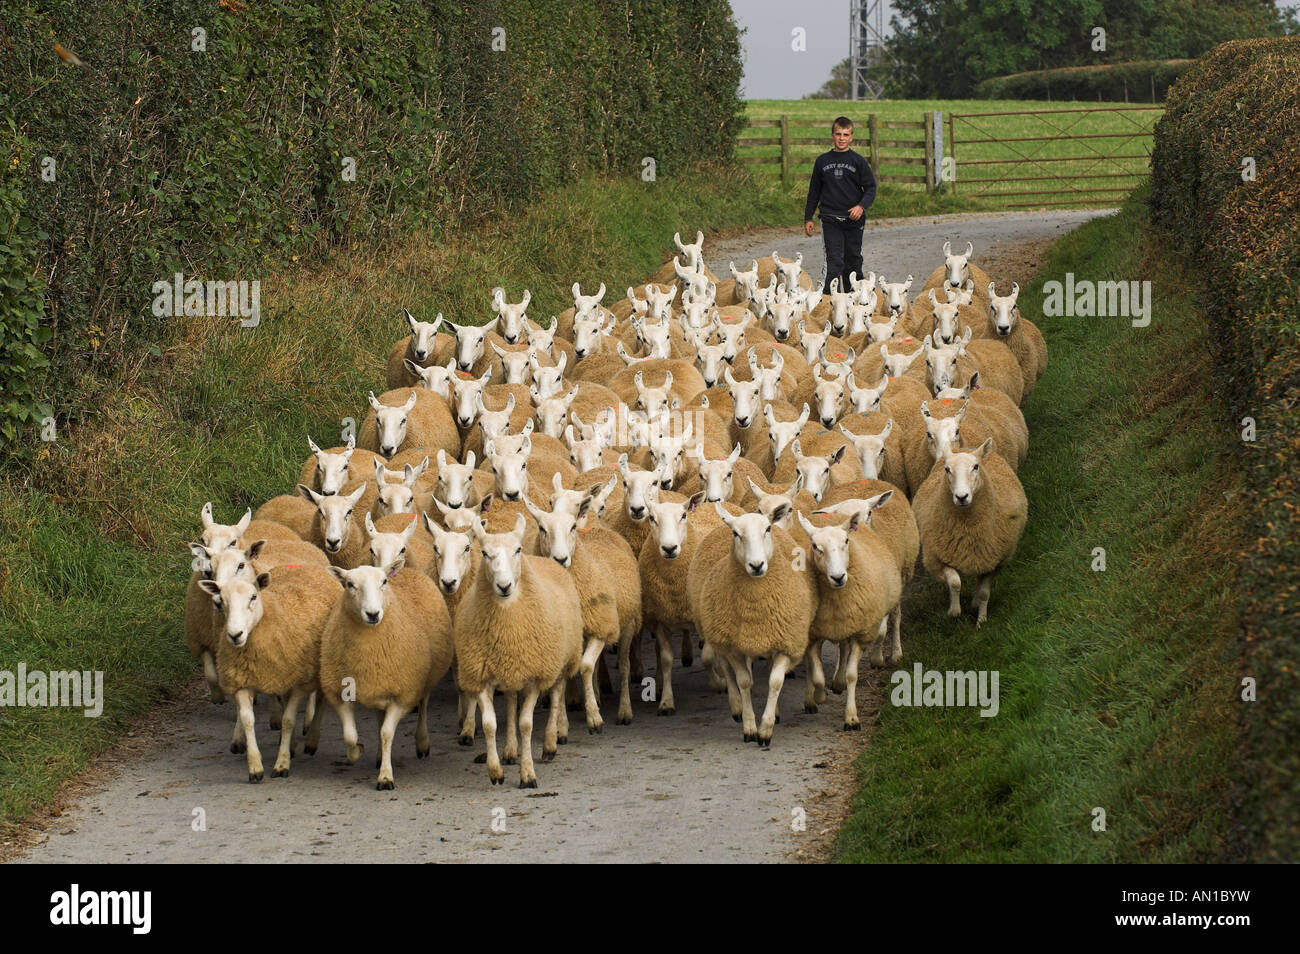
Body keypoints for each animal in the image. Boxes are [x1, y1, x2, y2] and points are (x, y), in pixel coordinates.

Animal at [197, 565, 340, 781]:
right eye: (221, 601)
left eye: (253, 597)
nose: (235, 635)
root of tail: (308, 566)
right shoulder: (242, 681)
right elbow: (248, 720)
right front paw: (255, 767)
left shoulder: (298, 682)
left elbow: (288, 720)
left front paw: (282, 764)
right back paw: (292, 745)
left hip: (323, 665)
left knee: (322, 699)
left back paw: (311, 740)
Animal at [453, 514, 584, 787]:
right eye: (484, 553)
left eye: (517, 550)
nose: (504, 586)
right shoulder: (481, 674)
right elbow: (490, 724)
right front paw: (495, 770)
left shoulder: (535, 675)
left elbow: (526, 724)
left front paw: (528, 774)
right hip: (512, 671)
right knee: (512, 702)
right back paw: (510, 751)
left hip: (560, 659)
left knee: (556, 695)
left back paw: (550, 743)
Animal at [688, 506, 819, 745]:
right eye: (736, 533)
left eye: (767, 529)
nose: (757, 565)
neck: (755, 611)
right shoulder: (733, 648)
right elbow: (743, 682)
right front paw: (750, 727)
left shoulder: (785, 643)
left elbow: (775, 682)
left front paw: (766, 728)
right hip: (717, 634)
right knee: (725, 668)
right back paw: (737, 708)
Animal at [795, 507, 902, 729]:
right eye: (815, 546)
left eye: (846, 541)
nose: (838, 577)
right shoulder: (812, 635)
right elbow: (817, 675)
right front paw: (819, 696)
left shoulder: (861, 633)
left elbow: (853, 675)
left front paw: (851, 718)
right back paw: (813, 698)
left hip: (849, 624)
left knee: (843, 649)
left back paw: (839, 681)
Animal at [912, 438, 1027, 625]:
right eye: (947, 469)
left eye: (976, 467)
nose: (961, 497)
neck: (968, 530)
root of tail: (967, 448)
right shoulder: (936, 559)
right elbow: (955, 582)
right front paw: (954, 611)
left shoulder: (995, 562)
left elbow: (984, 593)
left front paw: (981, 619)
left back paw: (975, 603)